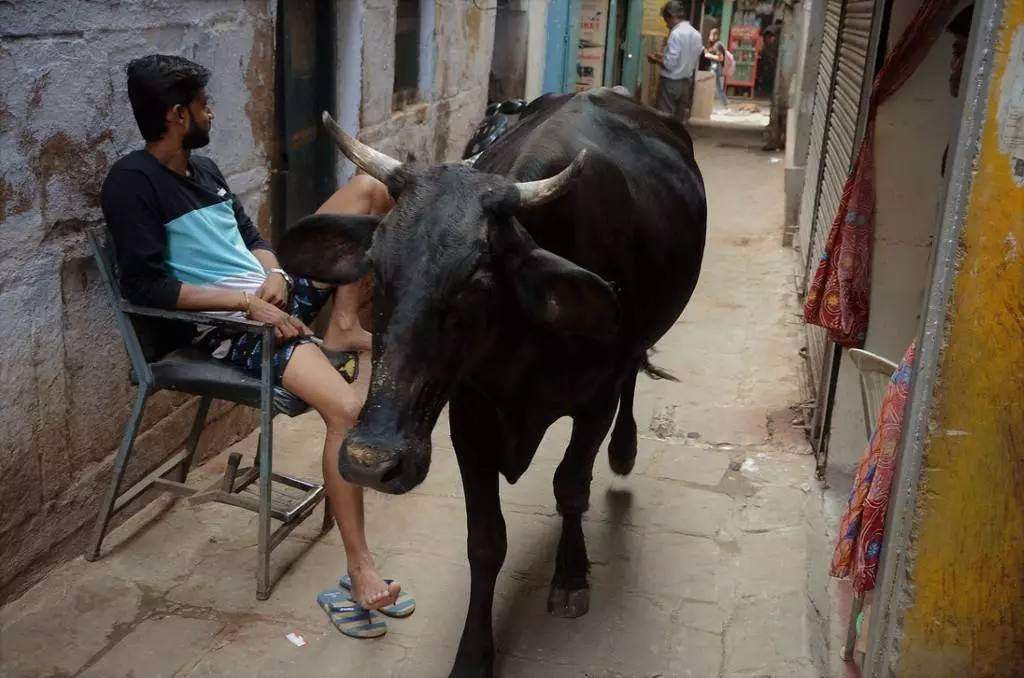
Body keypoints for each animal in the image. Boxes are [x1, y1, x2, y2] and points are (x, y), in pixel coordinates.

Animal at [282, 90, 712, 678]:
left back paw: (624, 450)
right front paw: (473, 653)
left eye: (478, 284)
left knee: (632, 377)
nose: (371, 461)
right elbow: (485, 541)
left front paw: (571, 575)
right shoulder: (470, 416)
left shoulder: (595, 401)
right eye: (376, 267)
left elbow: (570, 486)